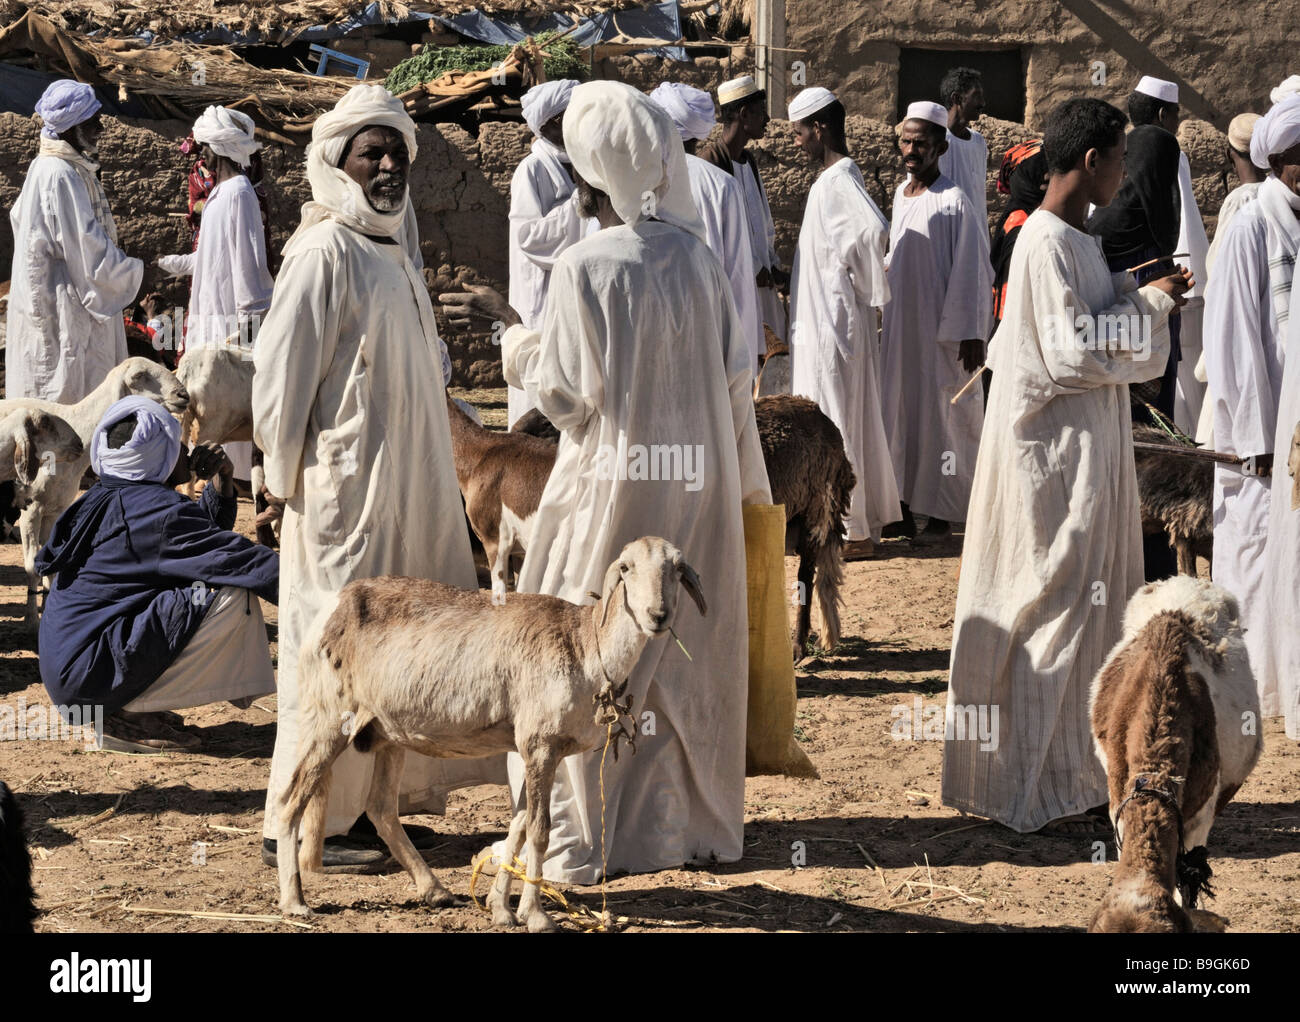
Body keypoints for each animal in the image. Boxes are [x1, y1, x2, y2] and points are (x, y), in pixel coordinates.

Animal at [0, 357, 190, 630]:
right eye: (139, 376)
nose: (183, 395)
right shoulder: (30, 509)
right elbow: (31, 566)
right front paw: (31, 620)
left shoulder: (55, 510)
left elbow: (50, 564)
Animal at [275, 535, 707, 931]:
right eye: (627, 568)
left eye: (676, 569)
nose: (657, 615)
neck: (586, 647)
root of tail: (332, 607)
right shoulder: (539, 745)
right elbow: (539, 831)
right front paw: (537, 915)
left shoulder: (536, 749)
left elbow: (519, 823)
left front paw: (502, 908)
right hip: (329, 716)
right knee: (290, 799)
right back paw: (295, 902)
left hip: (387, 732)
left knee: (381, 808)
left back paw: (435, 891)